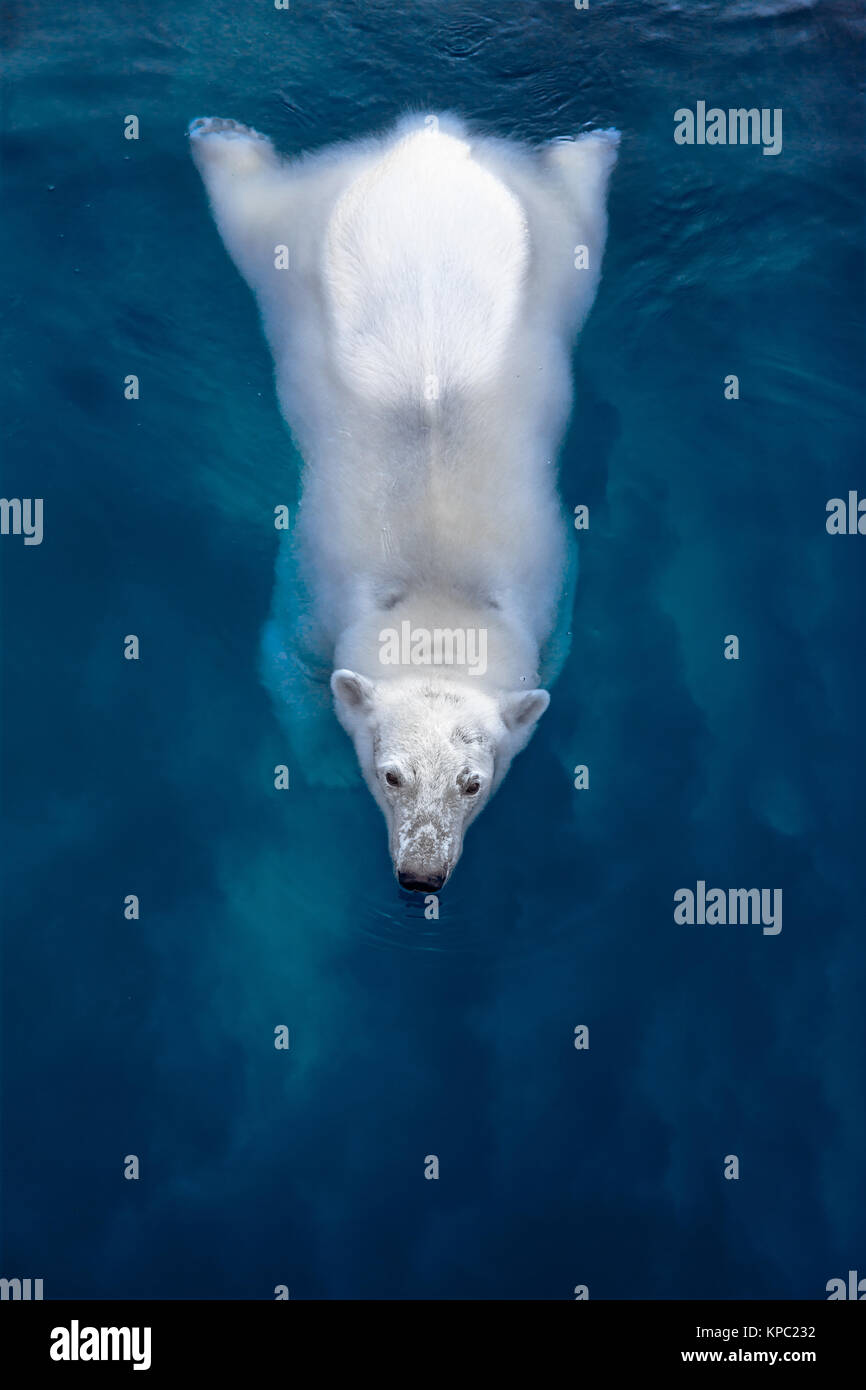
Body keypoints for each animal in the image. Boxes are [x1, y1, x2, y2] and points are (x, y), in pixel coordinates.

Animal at [189, 113, 618, 891]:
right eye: (391, 774)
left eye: (473, 781)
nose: (422, 875)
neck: (436, 582)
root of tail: (428, 143)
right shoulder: (312, 594)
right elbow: (286, 663)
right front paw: (323, 764)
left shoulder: (550, 602)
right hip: (298, 238)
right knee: (248, 211)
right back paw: (219, 136)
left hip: (551, 246)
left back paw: (591, 147)